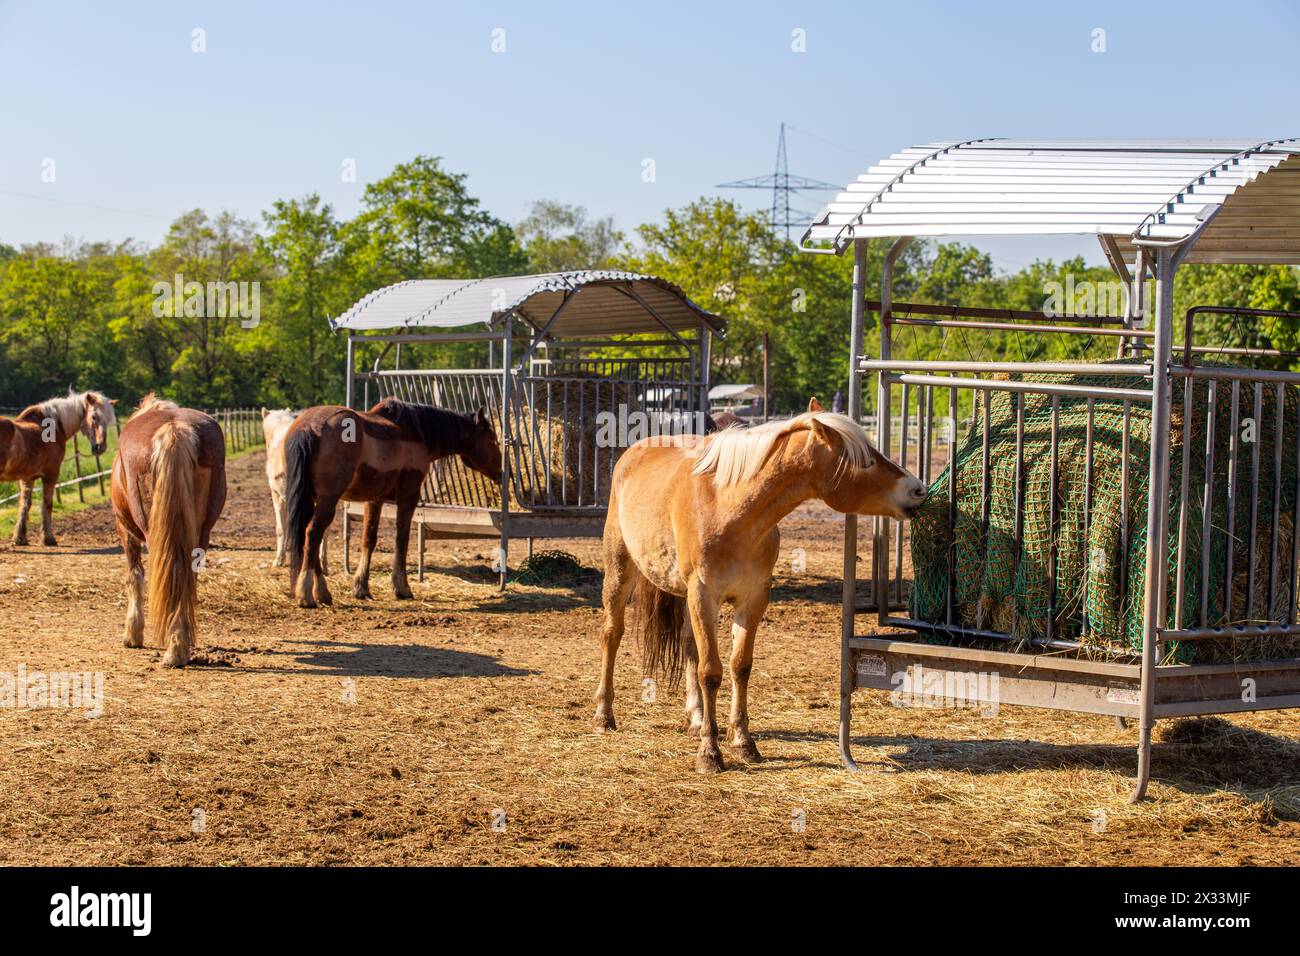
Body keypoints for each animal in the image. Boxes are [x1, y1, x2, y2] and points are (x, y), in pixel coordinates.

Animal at [0, 389, 117, 546]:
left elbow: (25, 504)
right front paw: (48, 538)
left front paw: (20, 538)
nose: (100, 447)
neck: (54, 427)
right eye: (94, 416)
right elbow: (47, 504)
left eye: (108, 421)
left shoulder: (27, 478)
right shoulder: (51, 474)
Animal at [110, 395, 227, 668]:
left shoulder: (125, 531)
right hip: (201, 532)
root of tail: (174, 429)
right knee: (187, 575)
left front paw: (132, 634)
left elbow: (134, 576)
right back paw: (180, 644)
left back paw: (173, 648)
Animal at [283, 398, 502, 608]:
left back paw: (322, 593)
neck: (415, 433)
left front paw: (361, 588)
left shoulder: (374, 499)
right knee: (312, 533)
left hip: (312, 499)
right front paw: (402, 587)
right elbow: (401, 540)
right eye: (492, 439)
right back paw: (306, 595)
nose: (502, 472)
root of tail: (309, 427)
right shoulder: (408, 496)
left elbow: (369, 540)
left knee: (308, 534)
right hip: (327, 501)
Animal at [594, 397, 929, 773]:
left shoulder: (753, 598)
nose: (918, 489)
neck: (731, 509)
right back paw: (604, 715)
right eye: (866, 461)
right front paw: (710, 753)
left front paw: (742, 741)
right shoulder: (704, 594)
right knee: (612, 634)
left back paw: (696, 717)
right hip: (621, 570)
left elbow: (740, 666)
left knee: (688, 645)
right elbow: (711, 671)